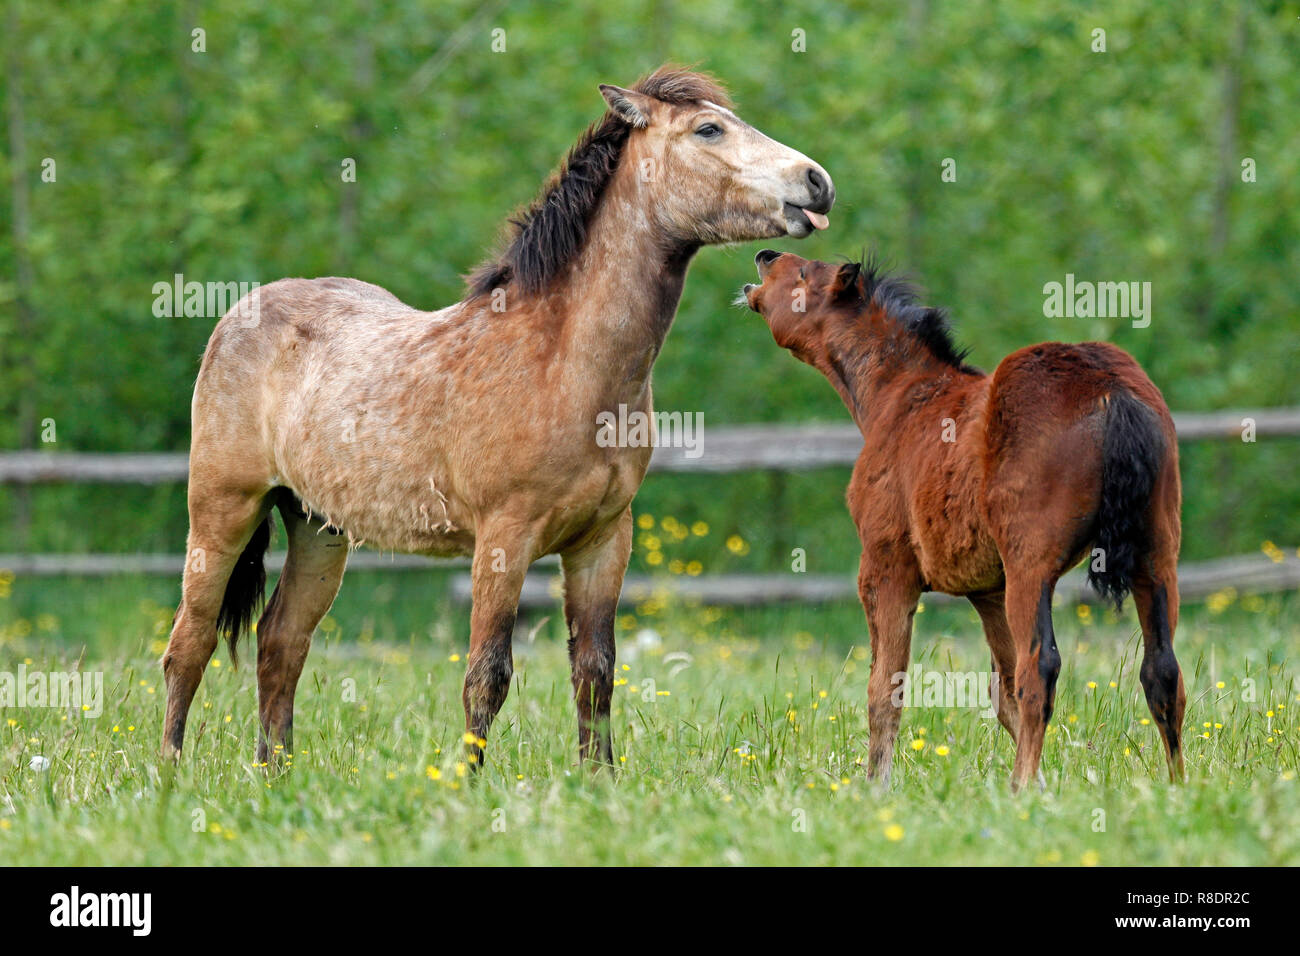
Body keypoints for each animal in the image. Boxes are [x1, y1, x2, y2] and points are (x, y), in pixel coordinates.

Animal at [160, 66, 835, 770]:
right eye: (708, 129)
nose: (817, 182)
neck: (560, 361)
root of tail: (239, 314)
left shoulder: (604, 540)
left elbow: (595, 671)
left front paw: (600, 779)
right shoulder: (504, 537)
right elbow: (488, 673)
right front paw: (468, 779)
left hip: (319, 527)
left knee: (280, 644)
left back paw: (276, 773)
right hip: (222, 512)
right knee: (190, 643)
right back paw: (170, 771)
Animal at [742, 251, 1184, 790]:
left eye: (805, 275)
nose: (765, 256)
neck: (899, 396)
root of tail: (1109, 388)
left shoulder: (887, 571)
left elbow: (885, 690)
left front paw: (875, 787)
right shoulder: (989, 590)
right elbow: (1003, 693)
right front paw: (1044, 785)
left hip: (1032, 568)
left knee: (1042, 669)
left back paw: (1019, 789)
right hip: (1155, 558)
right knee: (1162, 671)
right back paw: (1178, 785)